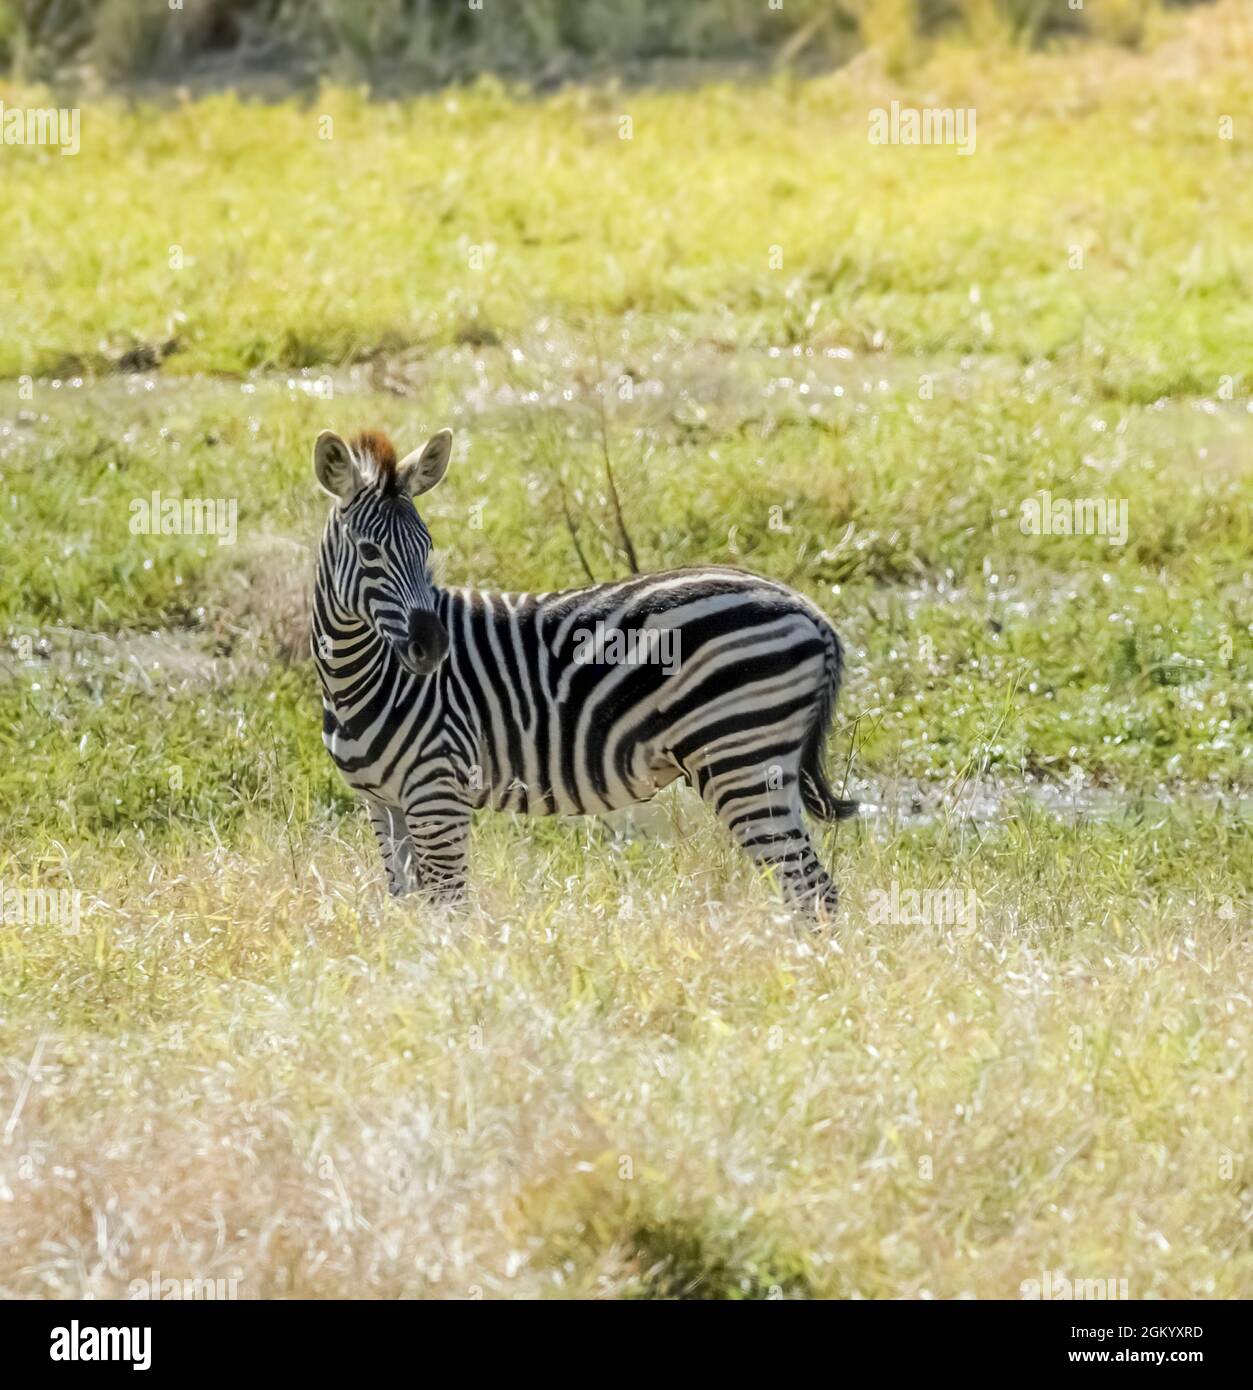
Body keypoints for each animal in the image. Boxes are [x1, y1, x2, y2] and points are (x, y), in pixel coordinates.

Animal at [311, 427, 857, 916]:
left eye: (426, 547)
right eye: (369, 552)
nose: (433, 648)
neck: (357, 678)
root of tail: (809, 608)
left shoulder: (437, 793)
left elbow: (449, 910)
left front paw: (453, 965)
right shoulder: (384, 804)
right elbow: (407, 908)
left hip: (740, 756)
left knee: (812, 891)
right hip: (763, 763)